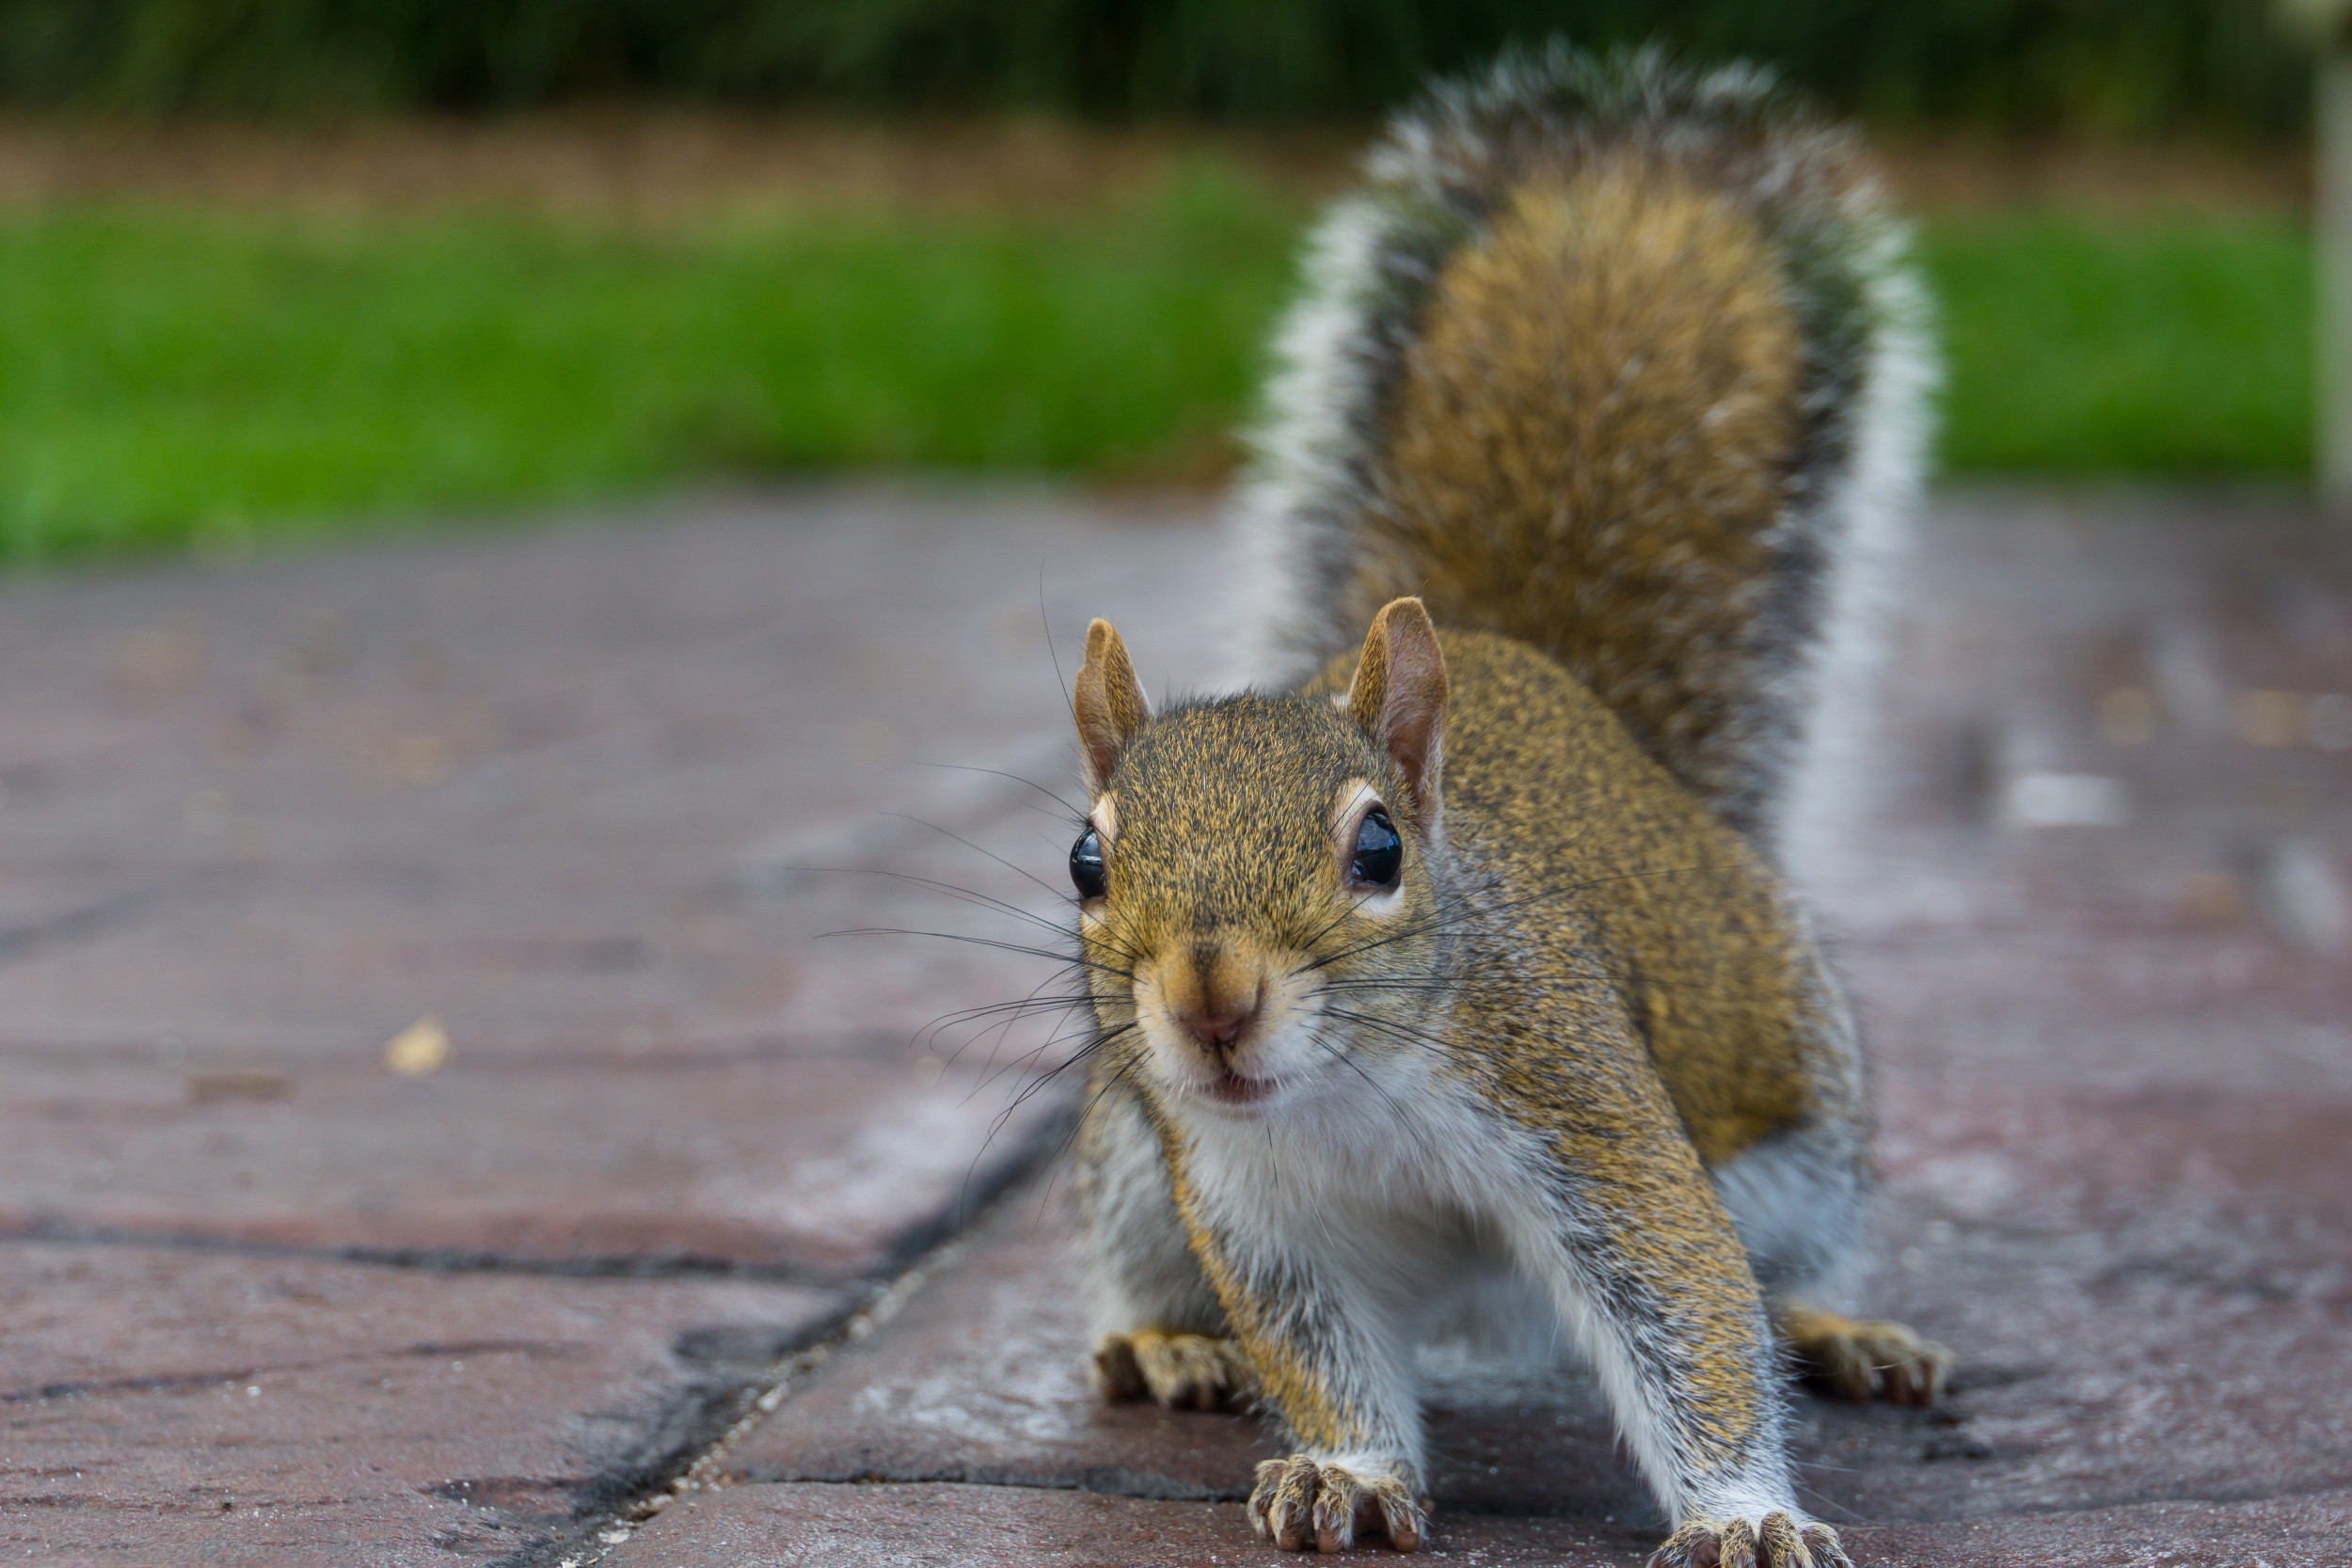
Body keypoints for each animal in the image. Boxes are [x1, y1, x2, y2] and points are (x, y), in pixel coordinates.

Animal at [1065, 43, 1946, 1567]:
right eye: (1084, 862)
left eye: (1377, 846)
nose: (1209, 1001)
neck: (1353, 1087)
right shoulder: (1250, 1205)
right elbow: (1318, 1350)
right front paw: (1346, 1470)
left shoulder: (1587, 1107)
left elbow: (1690, 1301)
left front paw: (1743, 1512)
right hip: (1132, 1150)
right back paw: (1164, 1341)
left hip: (1801, 1134)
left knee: (1779, 1269)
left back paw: (1839, 1324)